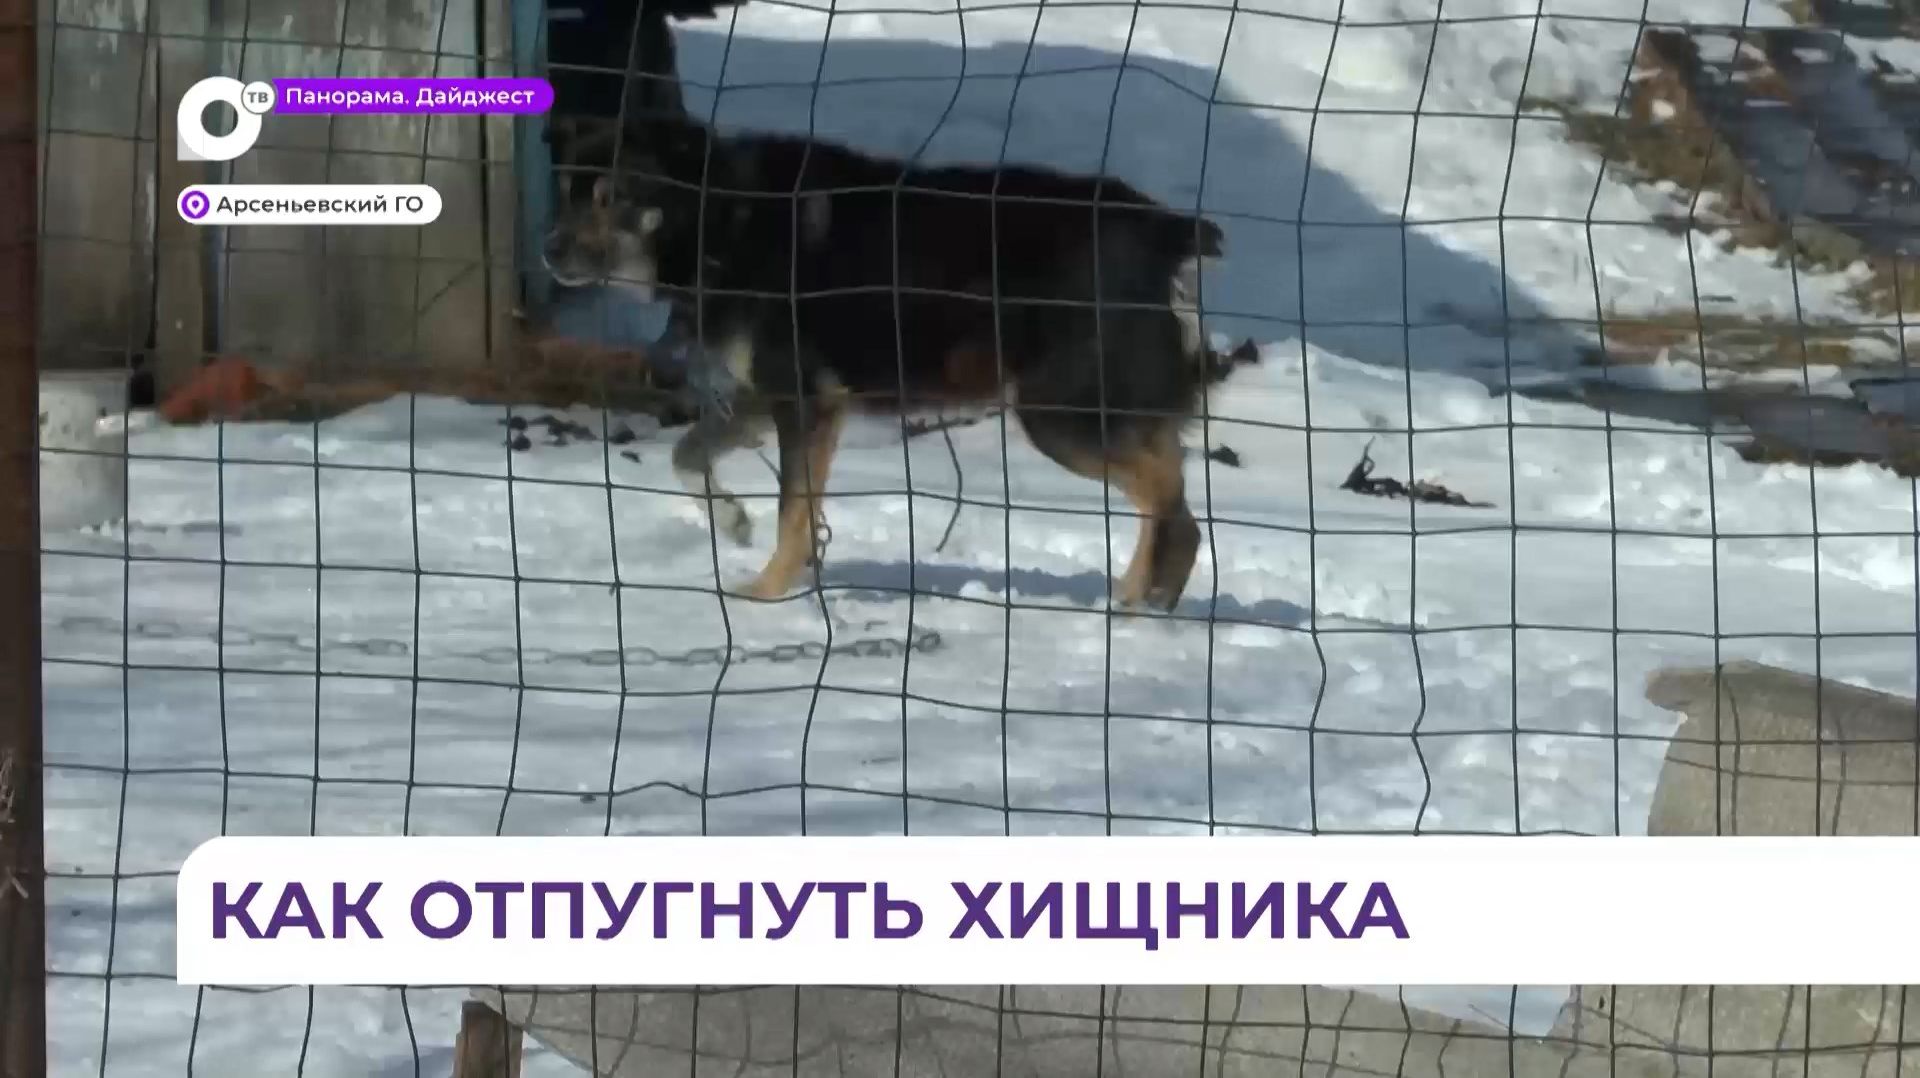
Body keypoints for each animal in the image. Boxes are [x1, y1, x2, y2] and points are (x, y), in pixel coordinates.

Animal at [544, 115, 1234, 611]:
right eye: (566, 192)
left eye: (611, 197)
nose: (547, 252)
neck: (725, 217)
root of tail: (1167, 230)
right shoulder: (766, 398)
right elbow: (687, 455)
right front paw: (733, 520)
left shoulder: (806, 400)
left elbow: (794, 512)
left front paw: (767, 592)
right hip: (1108, 405)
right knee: (1179, 505)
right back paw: (1151, 605)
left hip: (1058, 411)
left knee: (1162, 492)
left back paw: (1130, 597)